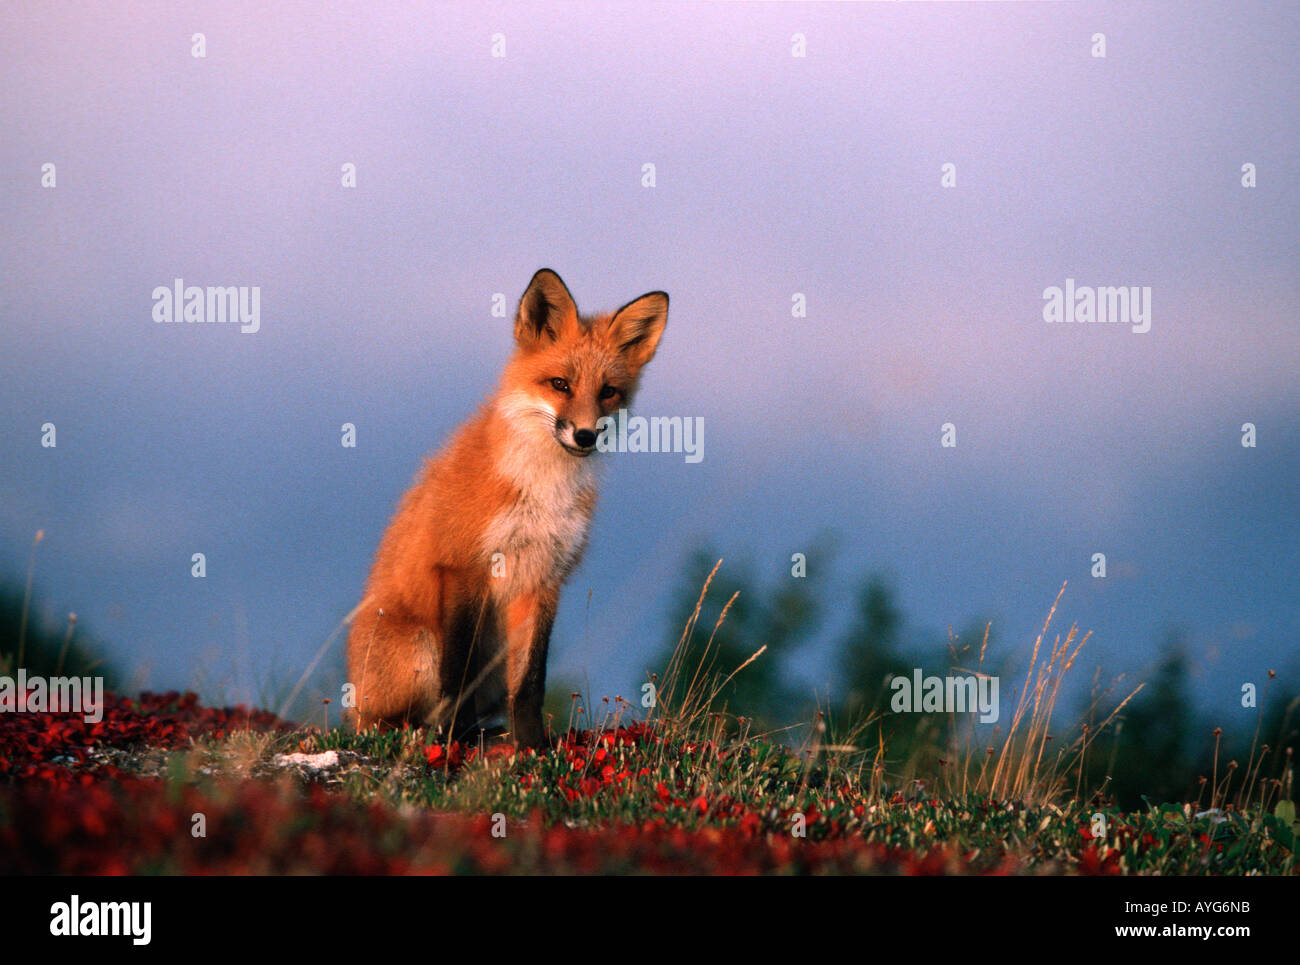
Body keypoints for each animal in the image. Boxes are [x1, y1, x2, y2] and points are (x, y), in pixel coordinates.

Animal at [345, 269, 668, 747]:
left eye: (608, 392)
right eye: (560, 384)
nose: (585, 436)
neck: (542, 490)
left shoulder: (545, 578)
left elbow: (532, 681)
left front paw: (534, 747)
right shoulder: (465, 566)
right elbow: (460, 672)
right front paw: (452, 743)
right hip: (420, 646)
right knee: (388, 720)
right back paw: (432, 733)